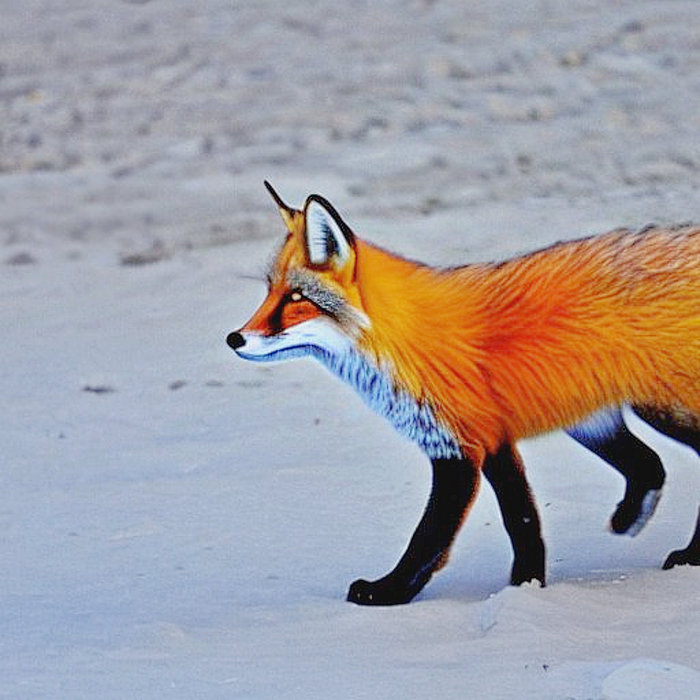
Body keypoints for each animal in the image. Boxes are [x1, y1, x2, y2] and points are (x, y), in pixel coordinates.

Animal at [227, 182, 700, 605]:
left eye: (297, 297)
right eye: (270, 291)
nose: (234, 338)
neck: (400, 343)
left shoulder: (459, 450)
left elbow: (431, 538)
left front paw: (390, 593)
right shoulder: (489, 439)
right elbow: (523, 521)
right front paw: (528, 586)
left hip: (658, 408)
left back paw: (689, 554)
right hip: (593, 416)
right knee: (649, 465)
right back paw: (633, 520)